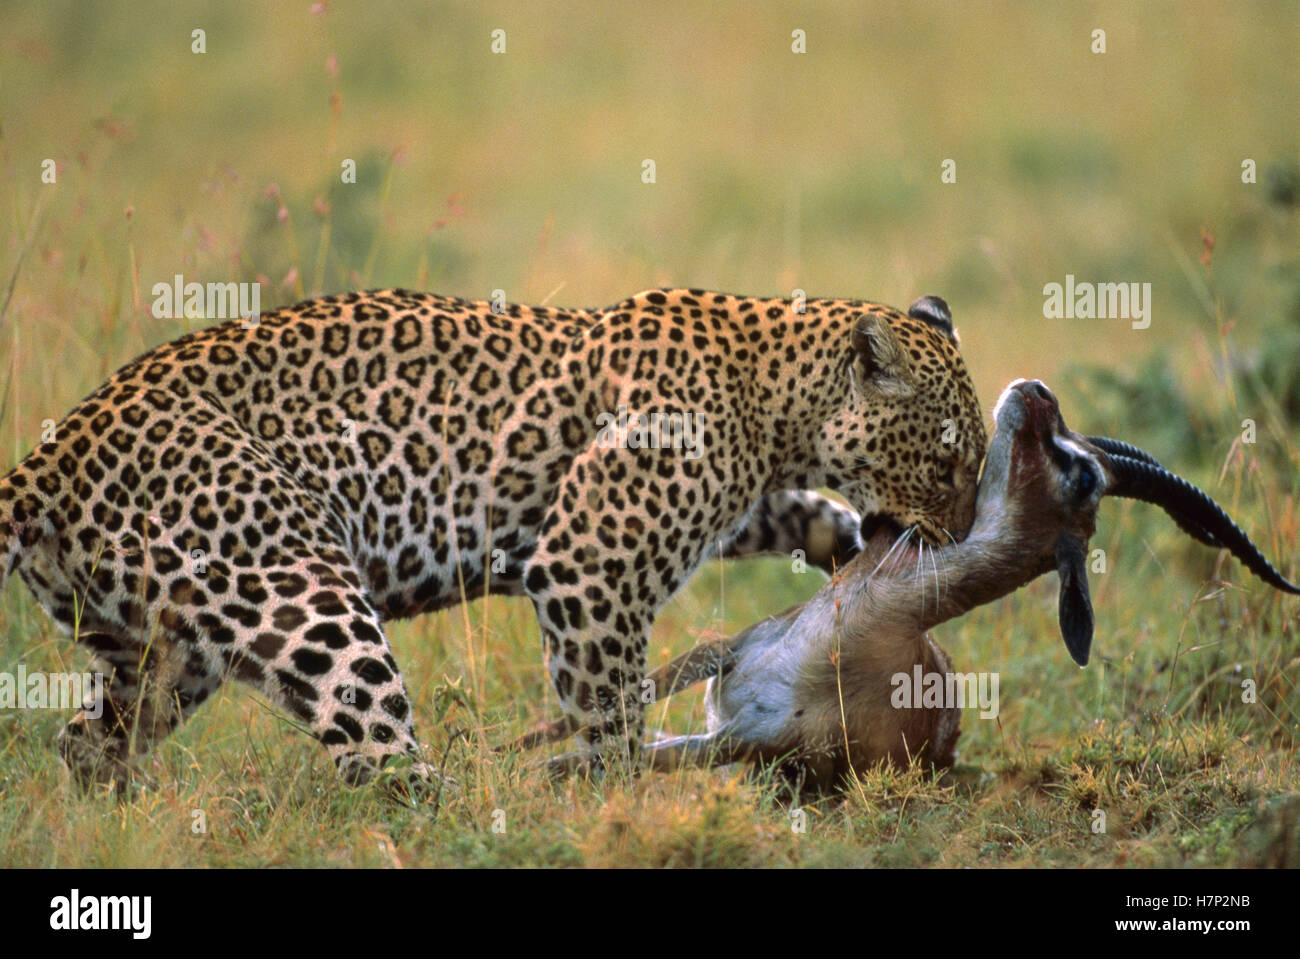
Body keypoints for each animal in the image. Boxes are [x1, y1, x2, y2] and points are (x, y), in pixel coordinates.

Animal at [0, 286, 986, 791]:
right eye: (946, 463)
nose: (962, 529)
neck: (777, 395)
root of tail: (53, 452)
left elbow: (778, 510)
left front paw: (839, 537)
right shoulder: (593, 557)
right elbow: (607, 707)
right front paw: (619, 802)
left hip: (164, 652)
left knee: (86, 740)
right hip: (305, 591)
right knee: (380, 764)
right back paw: (469, 806)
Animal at [508, 379, 1298, 794]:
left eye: (1082, 476)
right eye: (1077, 453)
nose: (1035, 390)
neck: (862, 625)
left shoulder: (747, 740)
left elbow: (618, 754)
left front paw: (523, 768)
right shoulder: (731, 649)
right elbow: (625, 702)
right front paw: (514, 743)